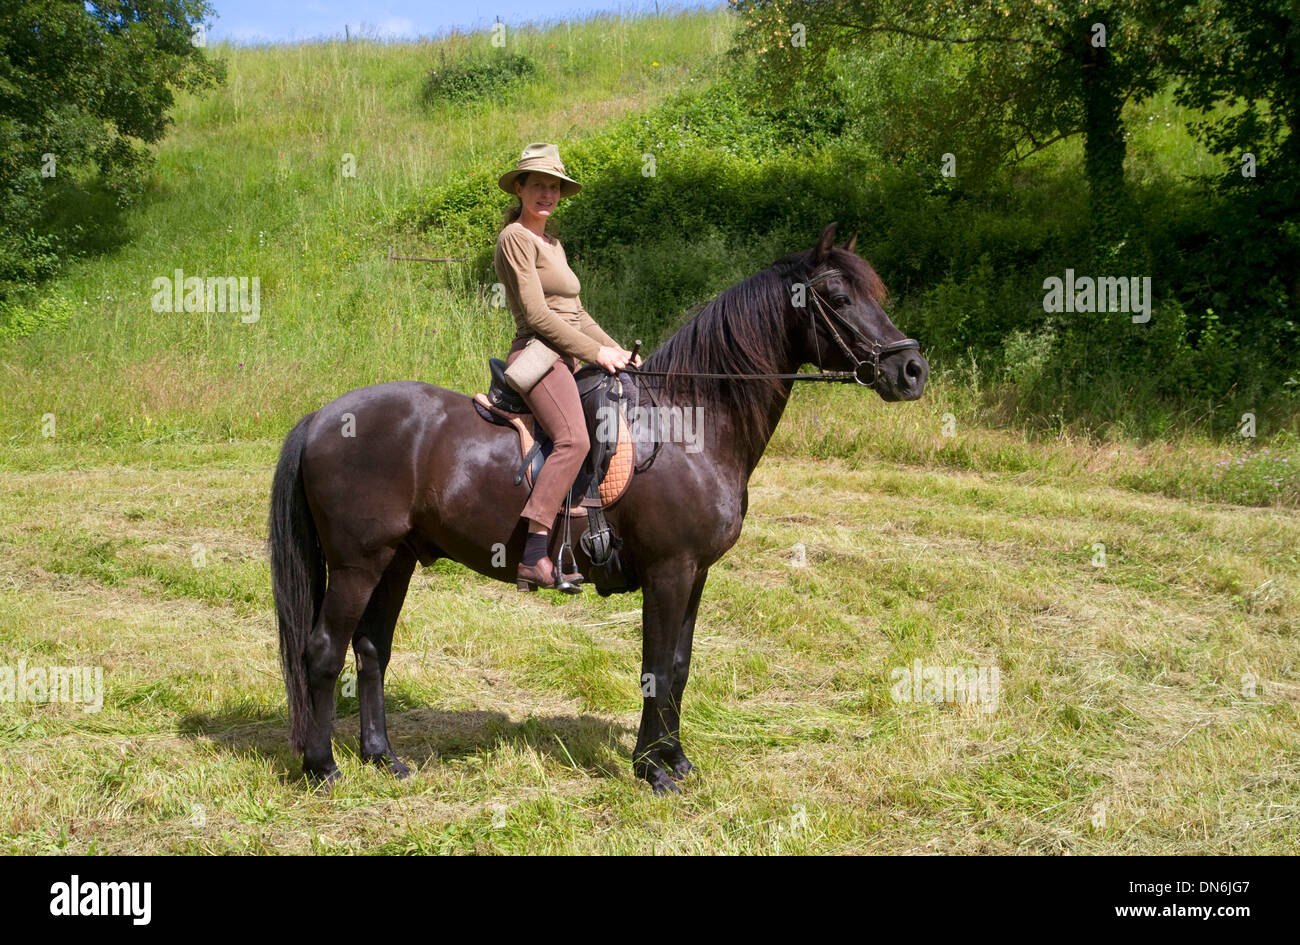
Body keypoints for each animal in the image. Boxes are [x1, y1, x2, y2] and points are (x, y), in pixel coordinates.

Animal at [268, 221, 929, 794]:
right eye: (838, 297)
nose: (912, 369)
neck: (690, 424)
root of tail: (323, 416)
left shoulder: (696, 574)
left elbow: (679, 665)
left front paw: (676, 759)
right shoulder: (669, 571)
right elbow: (656, 666)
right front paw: (652, 770)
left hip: (396, 561)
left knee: (371, 650)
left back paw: (383, 758)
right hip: (357, 564)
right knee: (322, 651)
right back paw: (322, 768)